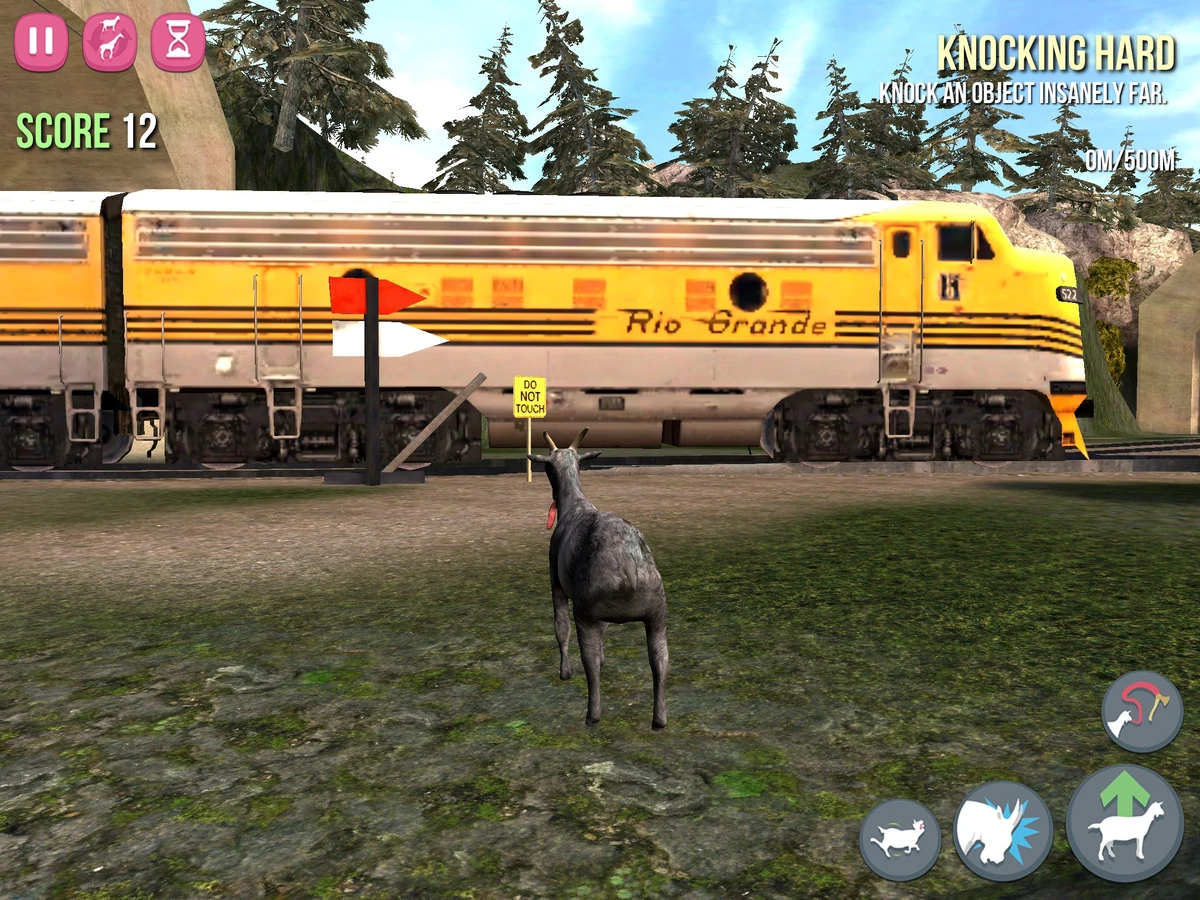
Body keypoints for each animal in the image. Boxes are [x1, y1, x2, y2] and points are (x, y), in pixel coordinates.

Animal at [529, 428, 669, 730]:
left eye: (546, 466)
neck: (575, 504)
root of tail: (629, 564)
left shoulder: (556, 579)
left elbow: (560, 626)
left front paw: (565, 672)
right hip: (657, 610)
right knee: (660, 658)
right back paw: (659, 720)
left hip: (587, 610)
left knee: (589, 658)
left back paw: (592, 715)